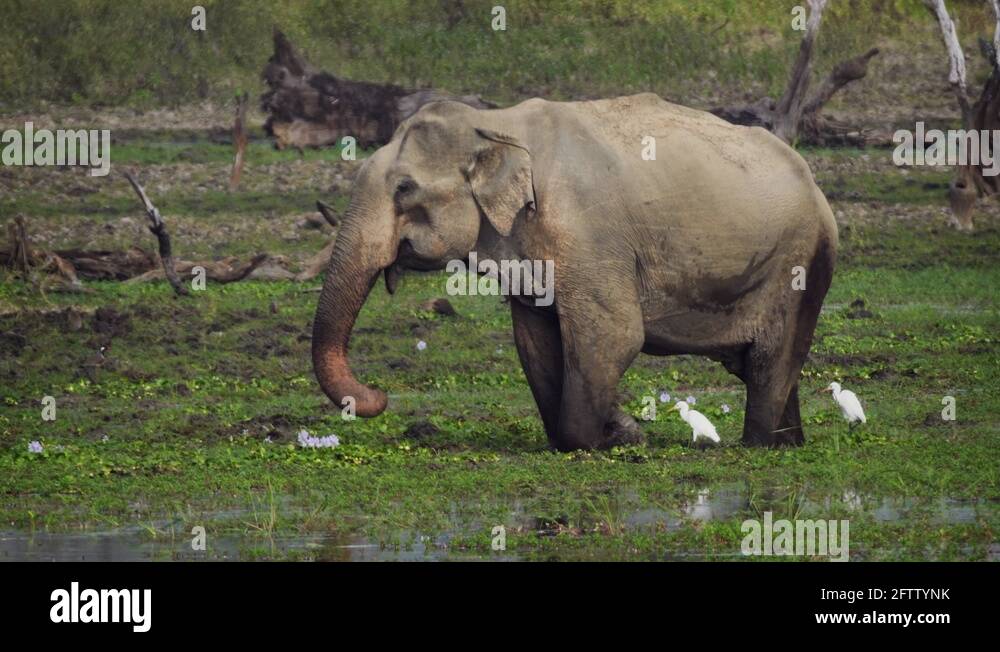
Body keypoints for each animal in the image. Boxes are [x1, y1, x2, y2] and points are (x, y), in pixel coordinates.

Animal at [311, 93, 838, 451]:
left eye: (404, 189)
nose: (378, 396)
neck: (494, 123)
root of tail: (814, 183)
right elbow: (535, 340)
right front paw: (619, 432)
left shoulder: (590, 235)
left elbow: (612, 335)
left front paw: (599, 440)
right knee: (763, 368)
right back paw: (789, 441)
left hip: (800, 263)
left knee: (770, 363)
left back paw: (759, 444)